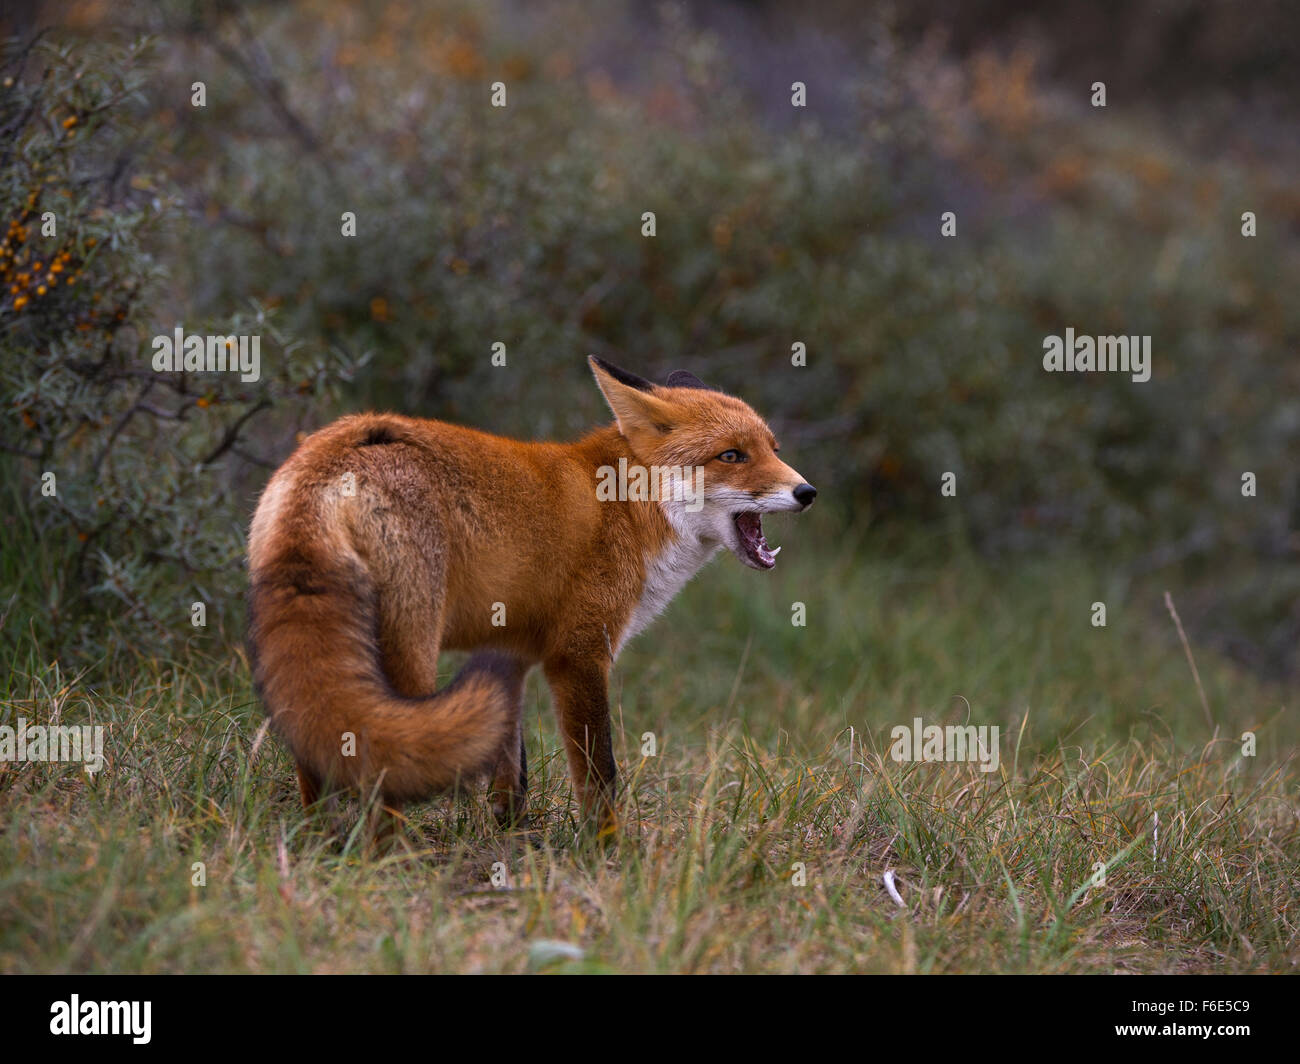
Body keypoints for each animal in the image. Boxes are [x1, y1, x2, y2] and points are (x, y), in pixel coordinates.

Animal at [246, 356, 816, 838]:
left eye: (774, 450)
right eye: (731, 456)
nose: (807, 492)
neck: (628, 507)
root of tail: (332, 448)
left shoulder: (510, 651)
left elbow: (512, 773)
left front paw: (511, 838)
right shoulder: (578, 653)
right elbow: (600, 774)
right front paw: (608, 853)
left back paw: (319, 841)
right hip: (412, 655)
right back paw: (393, 855)